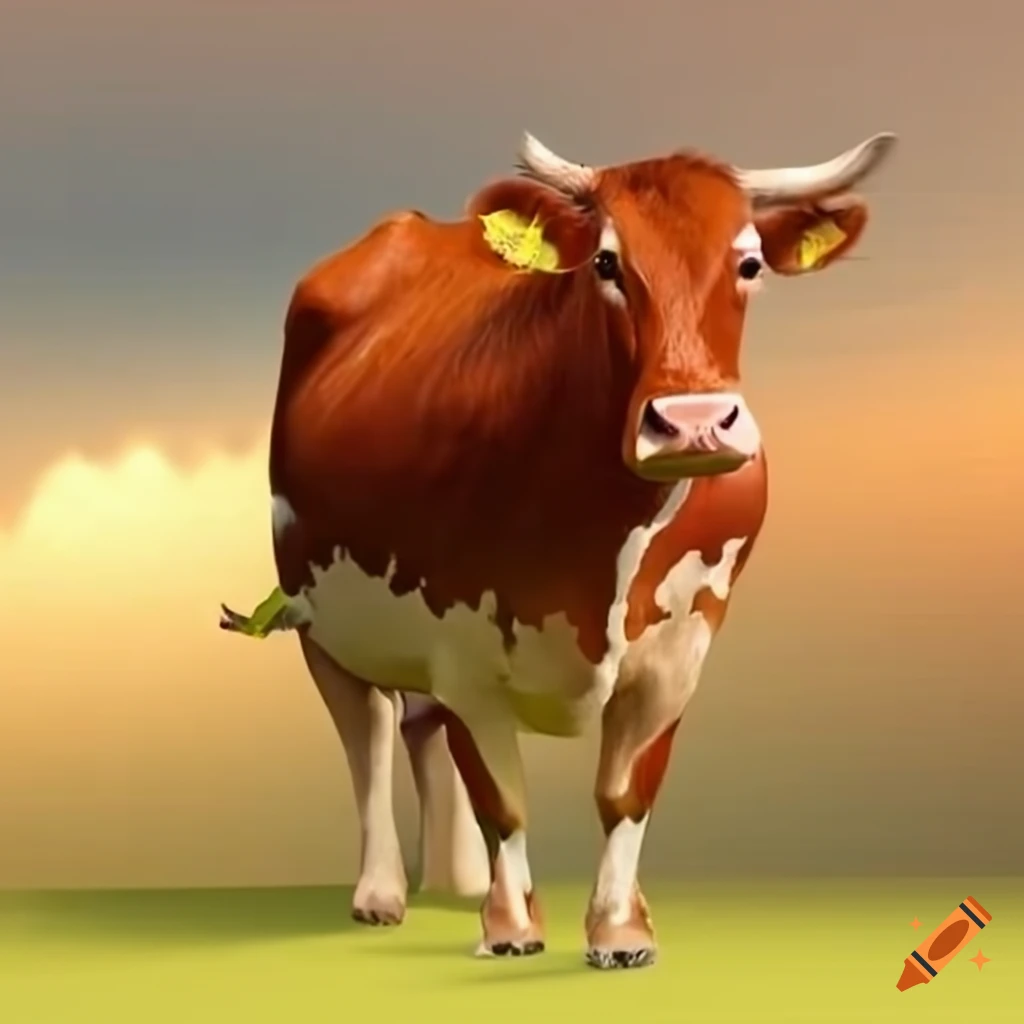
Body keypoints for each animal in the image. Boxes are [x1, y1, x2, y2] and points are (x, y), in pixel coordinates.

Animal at [232, 129, 896, 967]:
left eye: (748, 264)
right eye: (607, 263)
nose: (693, 423)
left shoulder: (680, 651)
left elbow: (625, 793)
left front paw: (620, 929)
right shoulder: (460, 649)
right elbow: (502, 798)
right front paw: (512, 926)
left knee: (415, 728)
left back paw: (455, 883)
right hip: (320, 619)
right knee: (369, 737)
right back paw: (382, 893)